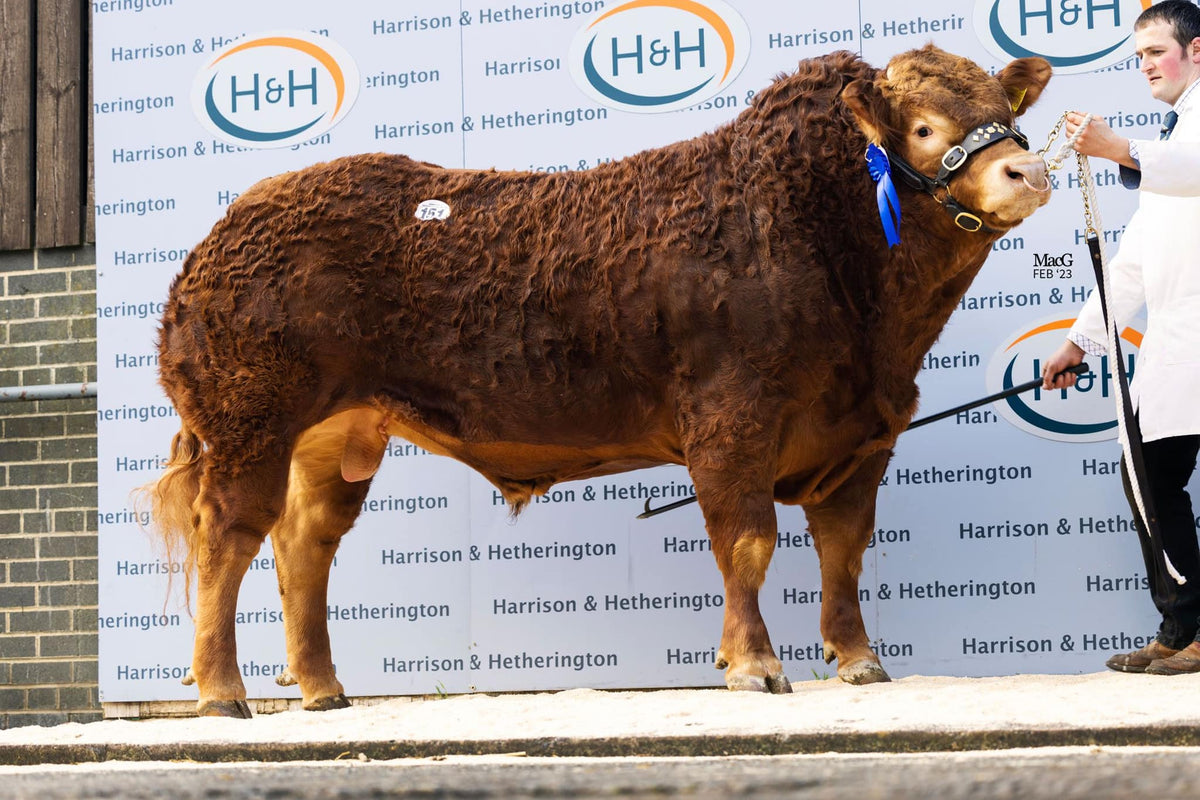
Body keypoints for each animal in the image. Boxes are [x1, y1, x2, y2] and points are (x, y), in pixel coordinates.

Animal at [150, 44, 1053, 717]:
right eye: (926, 127)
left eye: (1008, 118)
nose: (1029, 173)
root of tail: (226, 230)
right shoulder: (731, 417)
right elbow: (748, 541)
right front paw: (755, 666)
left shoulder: (866, 432)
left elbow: (844, 551)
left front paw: (860, 659)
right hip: (248, 421)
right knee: (228, 536)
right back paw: (222, 692)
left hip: (335, 438)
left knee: (305, 545)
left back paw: (323, 688)